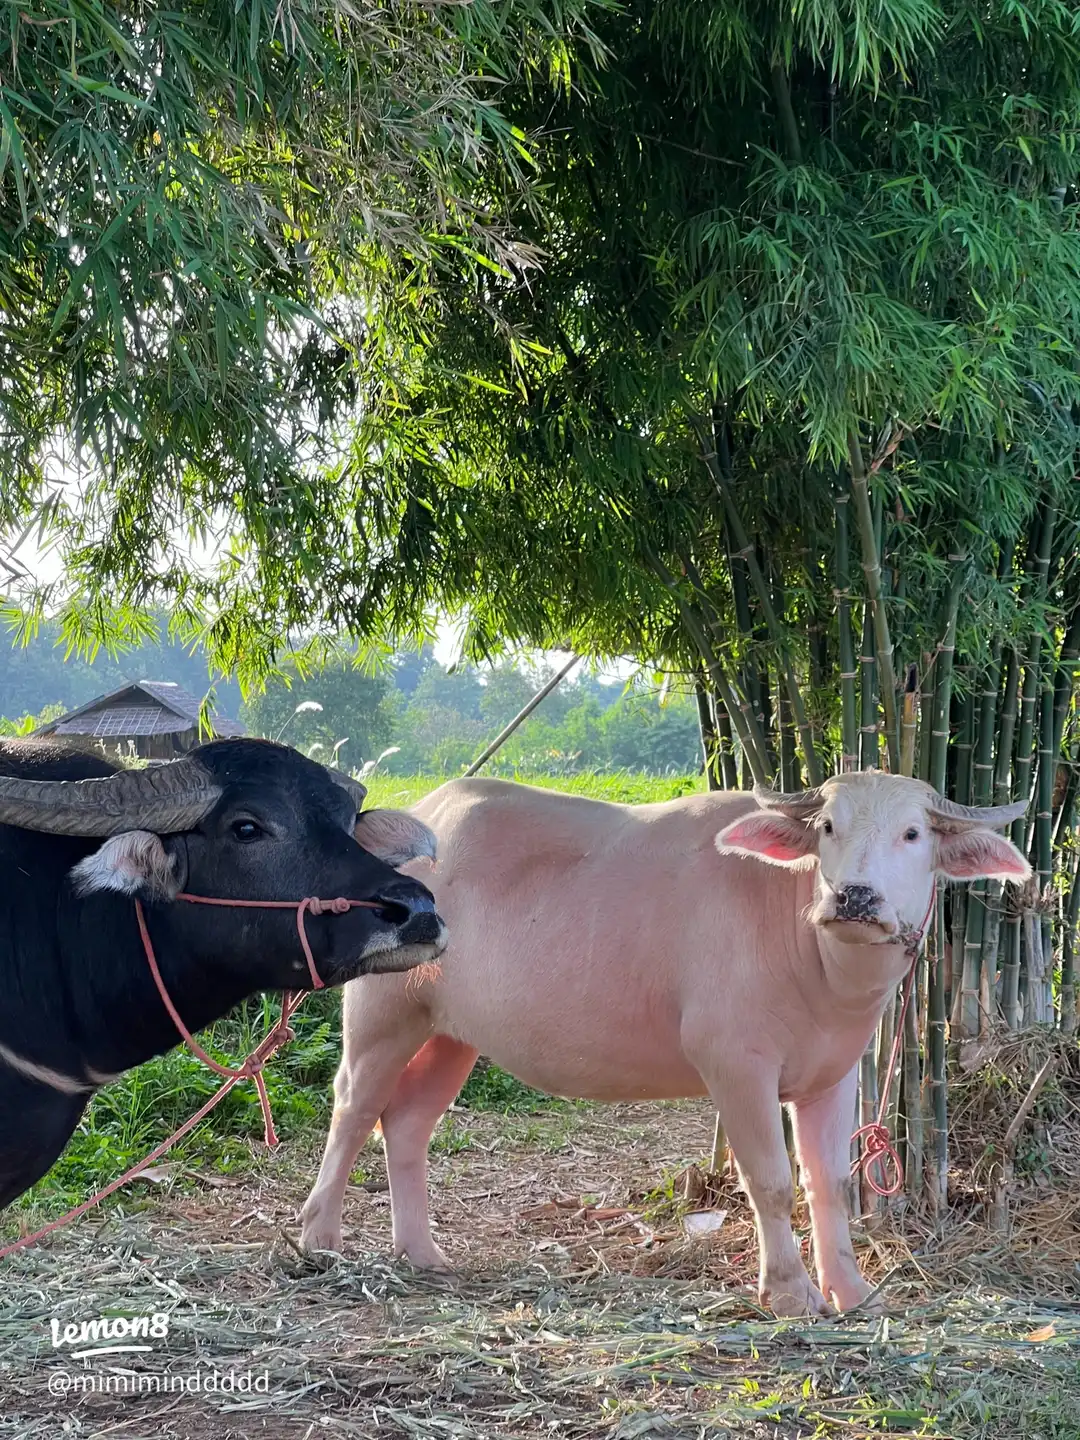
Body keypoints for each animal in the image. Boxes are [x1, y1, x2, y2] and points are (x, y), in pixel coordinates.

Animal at [299, 771, 1029, 1317]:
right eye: (828, 828)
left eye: (912, 833)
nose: (853, 896)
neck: (816, 960)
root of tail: (419, 819)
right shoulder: (735, 1063)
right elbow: (769, 1181)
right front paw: (790, 1293)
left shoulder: (834, 1073)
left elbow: (830, 1182)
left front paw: (850, 1291)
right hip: (384, 1009)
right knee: (353, 1108)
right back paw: (320, 1237)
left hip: (450, 1033)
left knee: (408, 1121)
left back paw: (420, 1252)